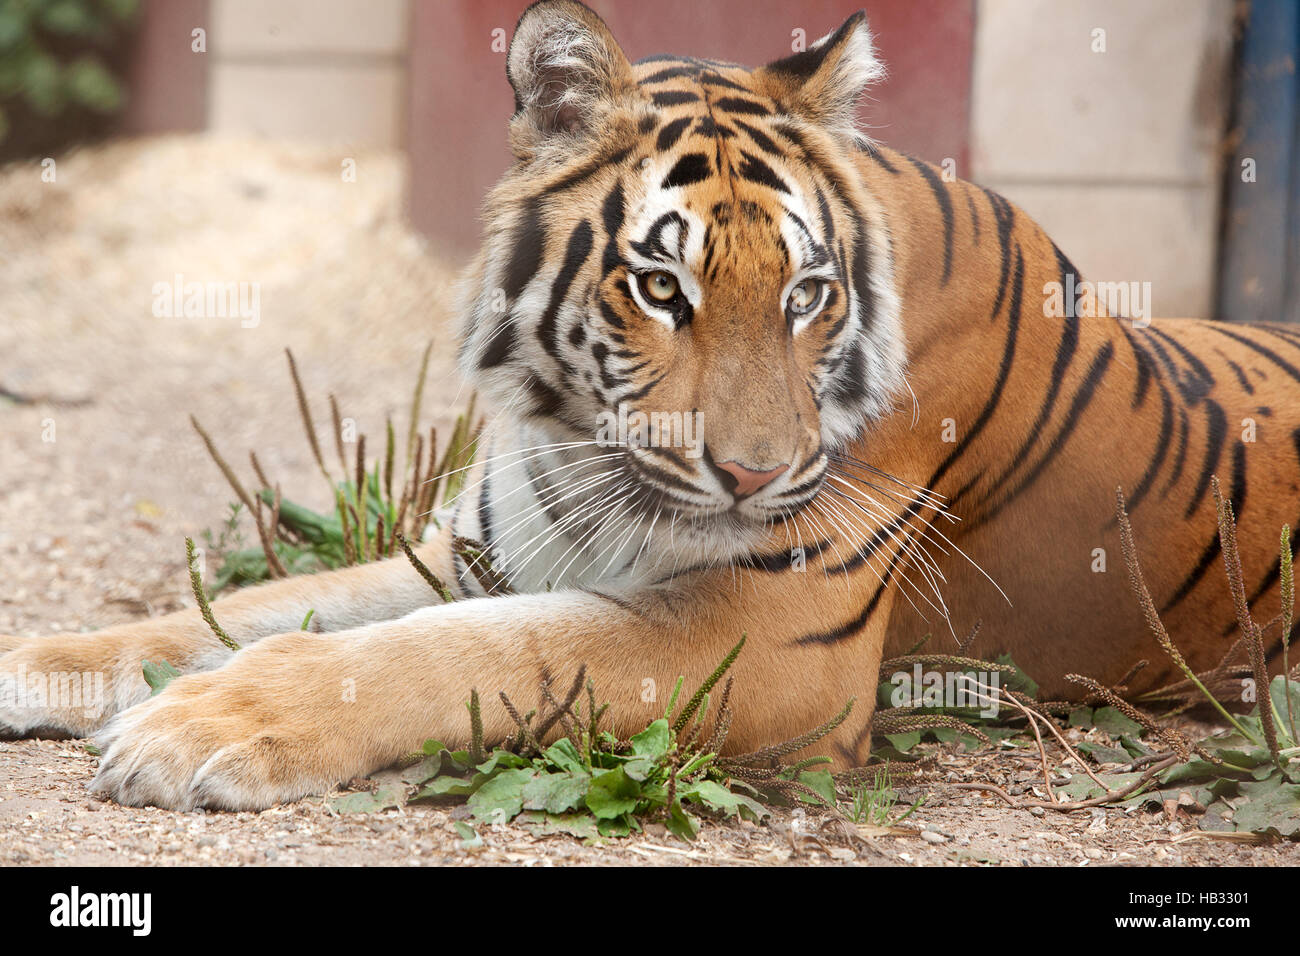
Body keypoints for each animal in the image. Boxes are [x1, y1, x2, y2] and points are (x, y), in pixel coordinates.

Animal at [2, 0, 1298, 812]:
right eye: (661, 287)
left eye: (808, 294)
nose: (757, 474)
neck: (572, 434)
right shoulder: (474, 546)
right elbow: (246, 603)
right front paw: (48, 659)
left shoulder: (771, 639)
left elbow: (467, 651)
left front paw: (203, 726)